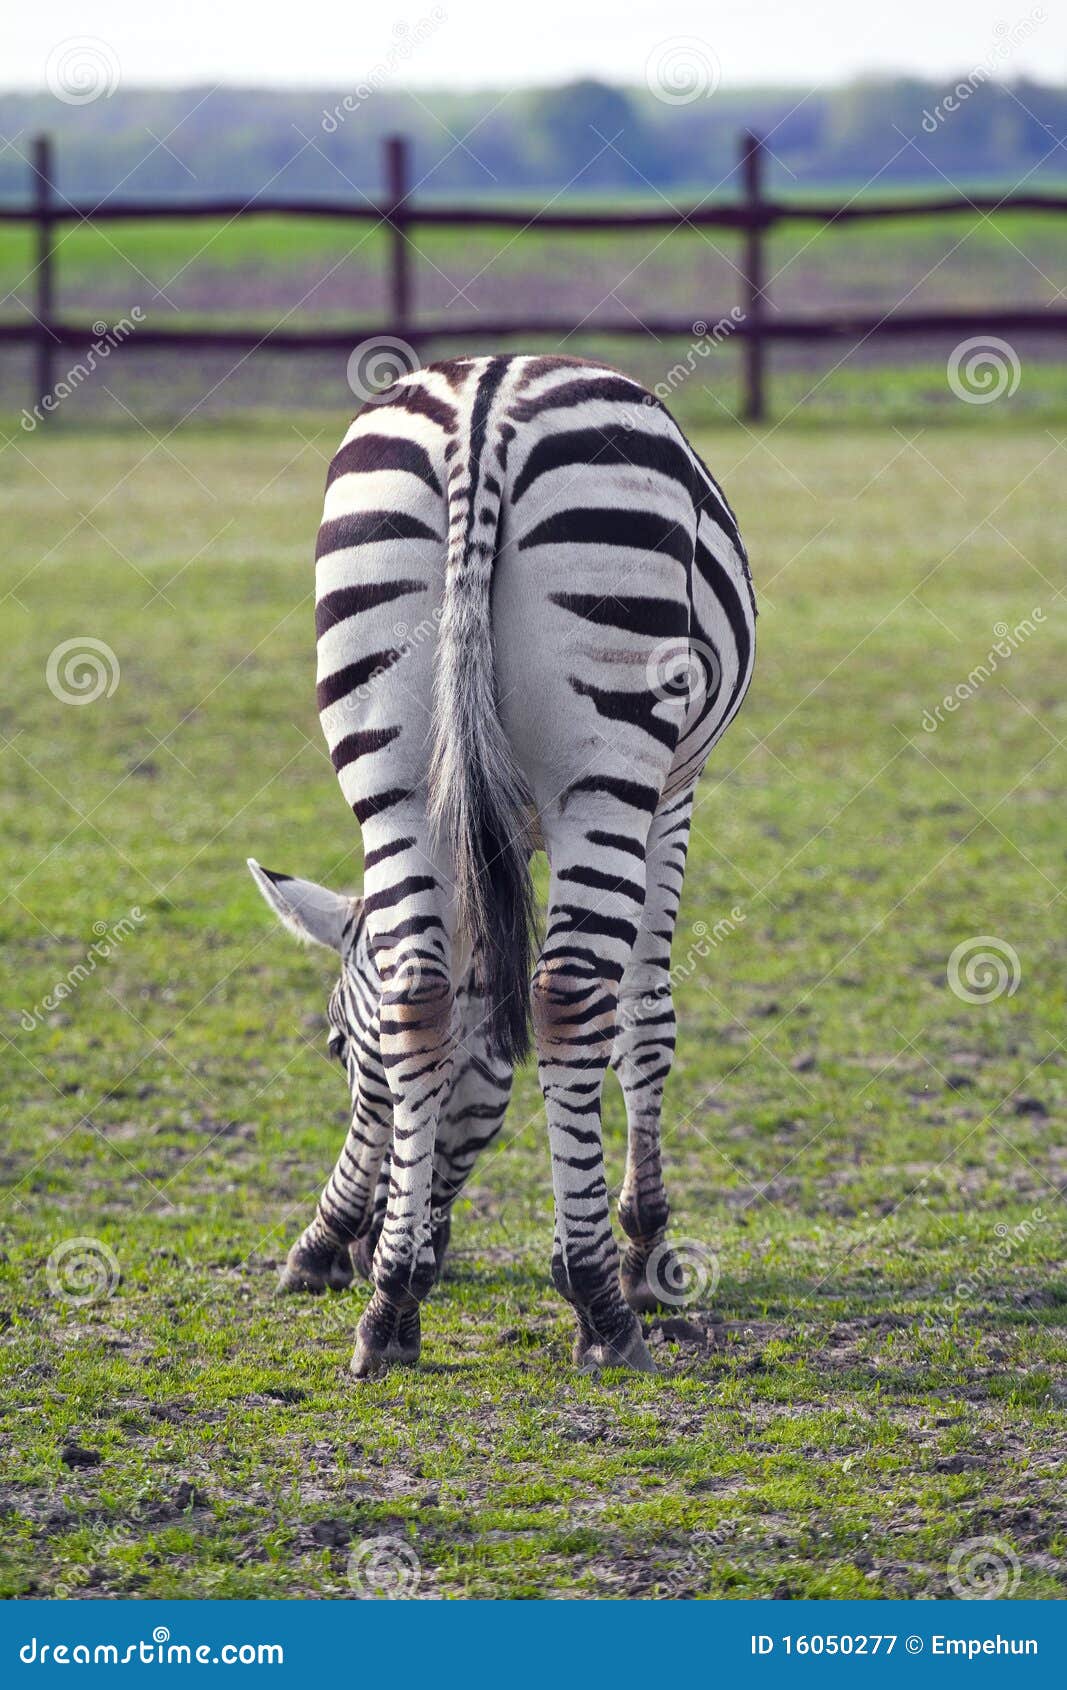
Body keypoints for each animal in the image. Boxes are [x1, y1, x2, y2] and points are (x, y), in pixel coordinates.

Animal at [248, 352, 755, 1378]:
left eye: (335, 1049)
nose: (341, 1252)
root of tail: (484, 403)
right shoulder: (673, 794)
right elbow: (643, 1018)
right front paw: (639, 1248)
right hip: (606, 767)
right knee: (570, 994)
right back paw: (602, 1307)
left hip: (391, 763)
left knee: (417, 991)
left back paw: (390, 1312)